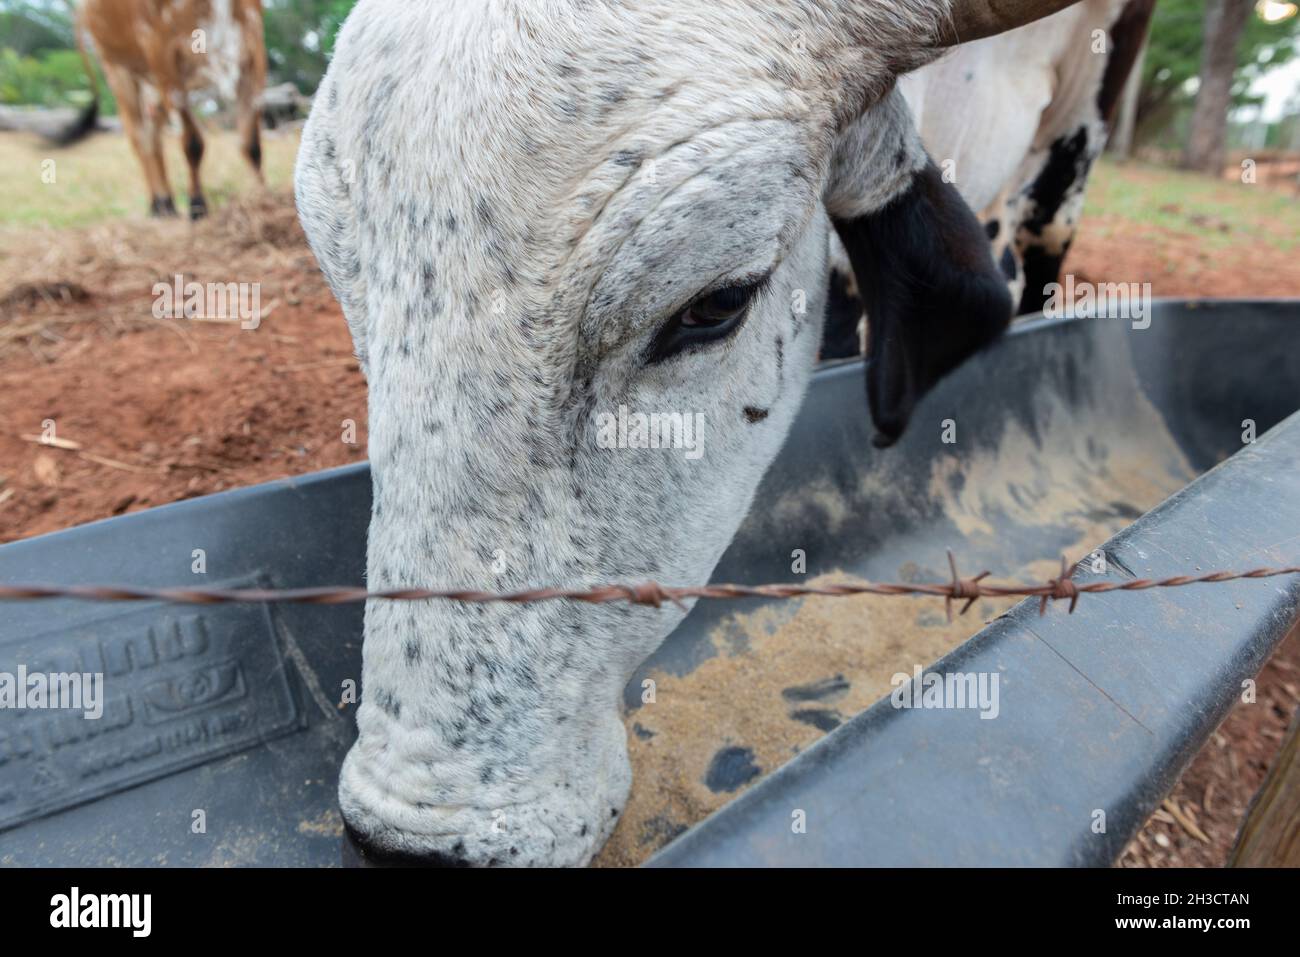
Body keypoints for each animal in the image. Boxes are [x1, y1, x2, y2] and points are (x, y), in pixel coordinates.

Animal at [55, 0, 268, 220]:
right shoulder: (164, 59)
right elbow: (193, 145)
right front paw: (197, 205)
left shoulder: (253, 49)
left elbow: (252, 146)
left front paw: (264, 201)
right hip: (119, 72)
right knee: (139, 139)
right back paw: (157, 203)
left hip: (152, 89)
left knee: (152, 139)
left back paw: (166, 203)